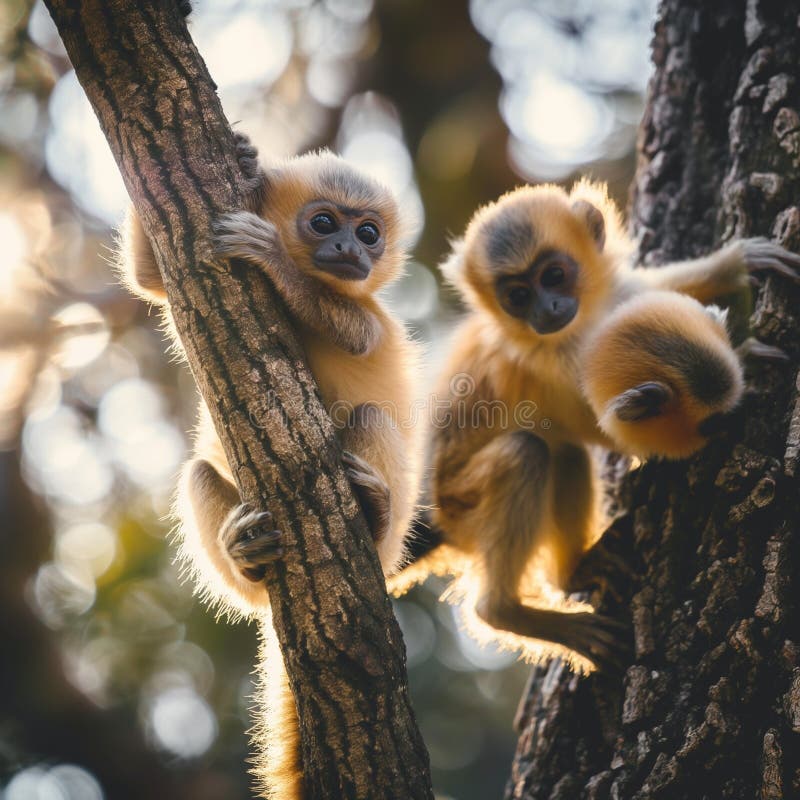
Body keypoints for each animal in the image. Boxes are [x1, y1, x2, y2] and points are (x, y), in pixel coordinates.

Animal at [117, 134, 422, 800]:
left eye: (369, 233)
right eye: (325, 223)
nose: (350, 250)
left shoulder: (371, 314)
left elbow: (358, 336)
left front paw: (273, 260)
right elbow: (152, 277)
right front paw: (244, 155)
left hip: (388, 542)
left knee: (372, 419)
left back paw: (375, 513)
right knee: (199, 476)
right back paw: (247, 558)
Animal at [397, 179, 799, 673]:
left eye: (553, 276)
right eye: (517, 296)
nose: (547, 308)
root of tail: (432, 512)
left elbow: (642, 295)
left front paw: (733, 265)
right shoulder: (556, 360)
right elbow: (610, 429)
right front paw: (735, 365)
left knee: (564, 452)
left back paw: (576, 570)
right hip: (462, 505)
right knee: (529, 451)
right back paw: (510, 612)